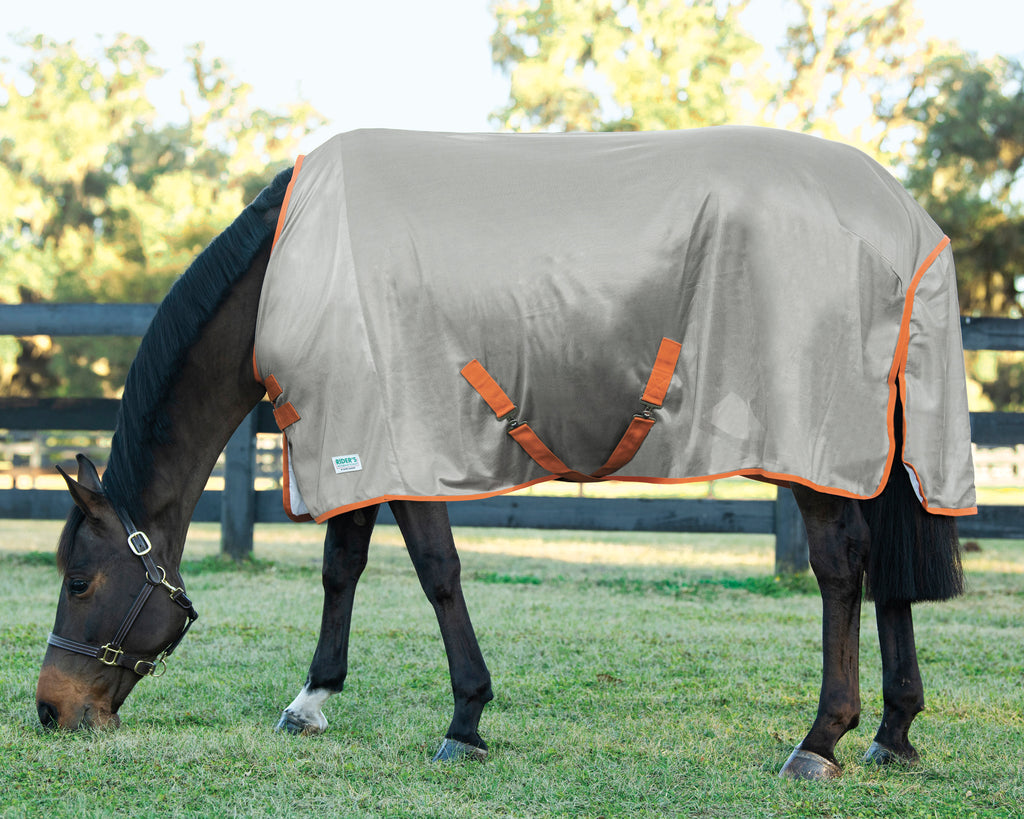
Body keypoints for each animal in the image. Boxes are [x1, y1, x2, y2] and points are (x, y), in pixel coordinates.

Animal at [36, 128, 971, 781]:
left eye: (79, 580)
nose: (51, 709)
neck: (291, 271)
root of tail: (900, 213)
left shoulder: (400, 434)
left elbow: (436, 572)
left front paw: (466, 720)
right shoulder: (358, 438)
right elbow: (342, 566)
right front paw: (313, 698)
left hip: (815, 445)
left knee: (842, 565)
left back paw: (821, 738)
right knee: (885, 570)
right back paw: (893, 731)